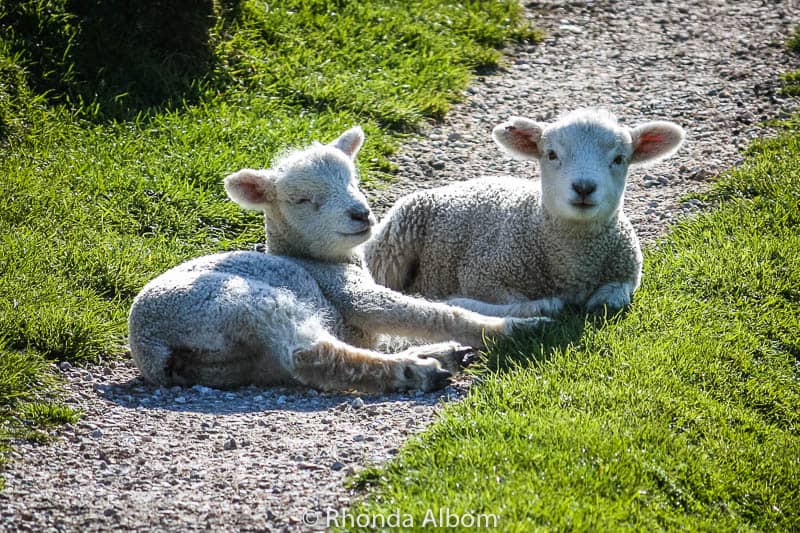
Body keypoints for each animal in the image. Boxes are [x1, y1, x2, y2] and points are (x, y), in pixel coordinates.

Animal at [128, 126, 545, 393]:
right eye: (302, 199)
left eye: (353, 179)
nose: (361, 214)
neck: (318, 260)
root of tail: (150, 345)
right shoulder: (349, 292)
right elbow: (434, 313)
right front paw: (520, 324)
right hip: (245, 305)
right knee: (312, 356)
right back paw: (417, 372)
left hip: (248, 362)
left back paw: (436, 356)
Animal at [364, 108, 685, 317]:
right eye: (551, 154)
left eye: (619, 159)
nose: (583, 187)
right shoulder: (480, 276)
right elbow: (520, 305)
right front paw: (542, 305)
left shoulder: (627, 274)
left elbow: (610, 301)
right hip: (393, 245)